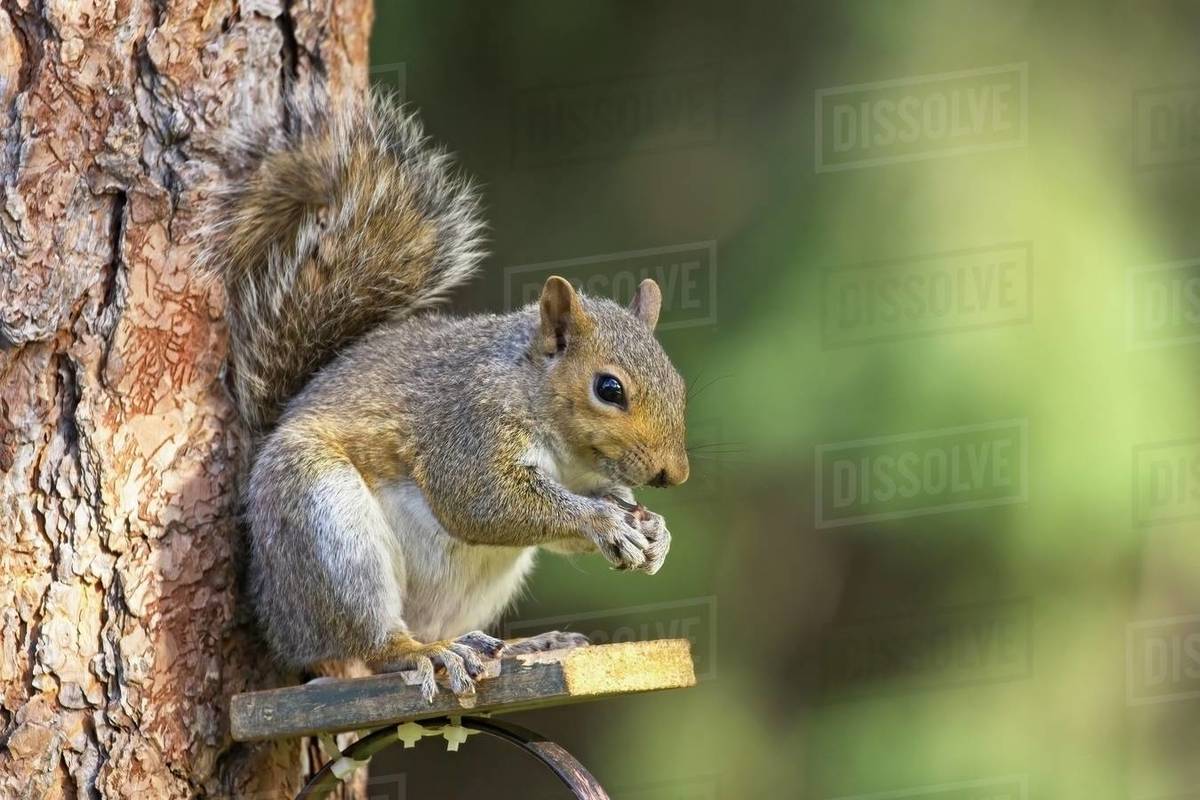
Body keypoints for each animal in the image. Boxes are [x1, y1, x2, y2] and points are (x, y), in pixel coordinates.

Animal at [202, 91, 690, 702]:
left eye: (679, 384)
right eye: (609, 389)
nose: (675, 474)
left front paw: (655, 531)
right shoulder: (467, 427)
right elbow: (481, 503)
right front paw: (603, 522)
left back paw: (518, 643)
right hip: (325, 526)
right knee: (373, 644)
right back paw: (422, 652)